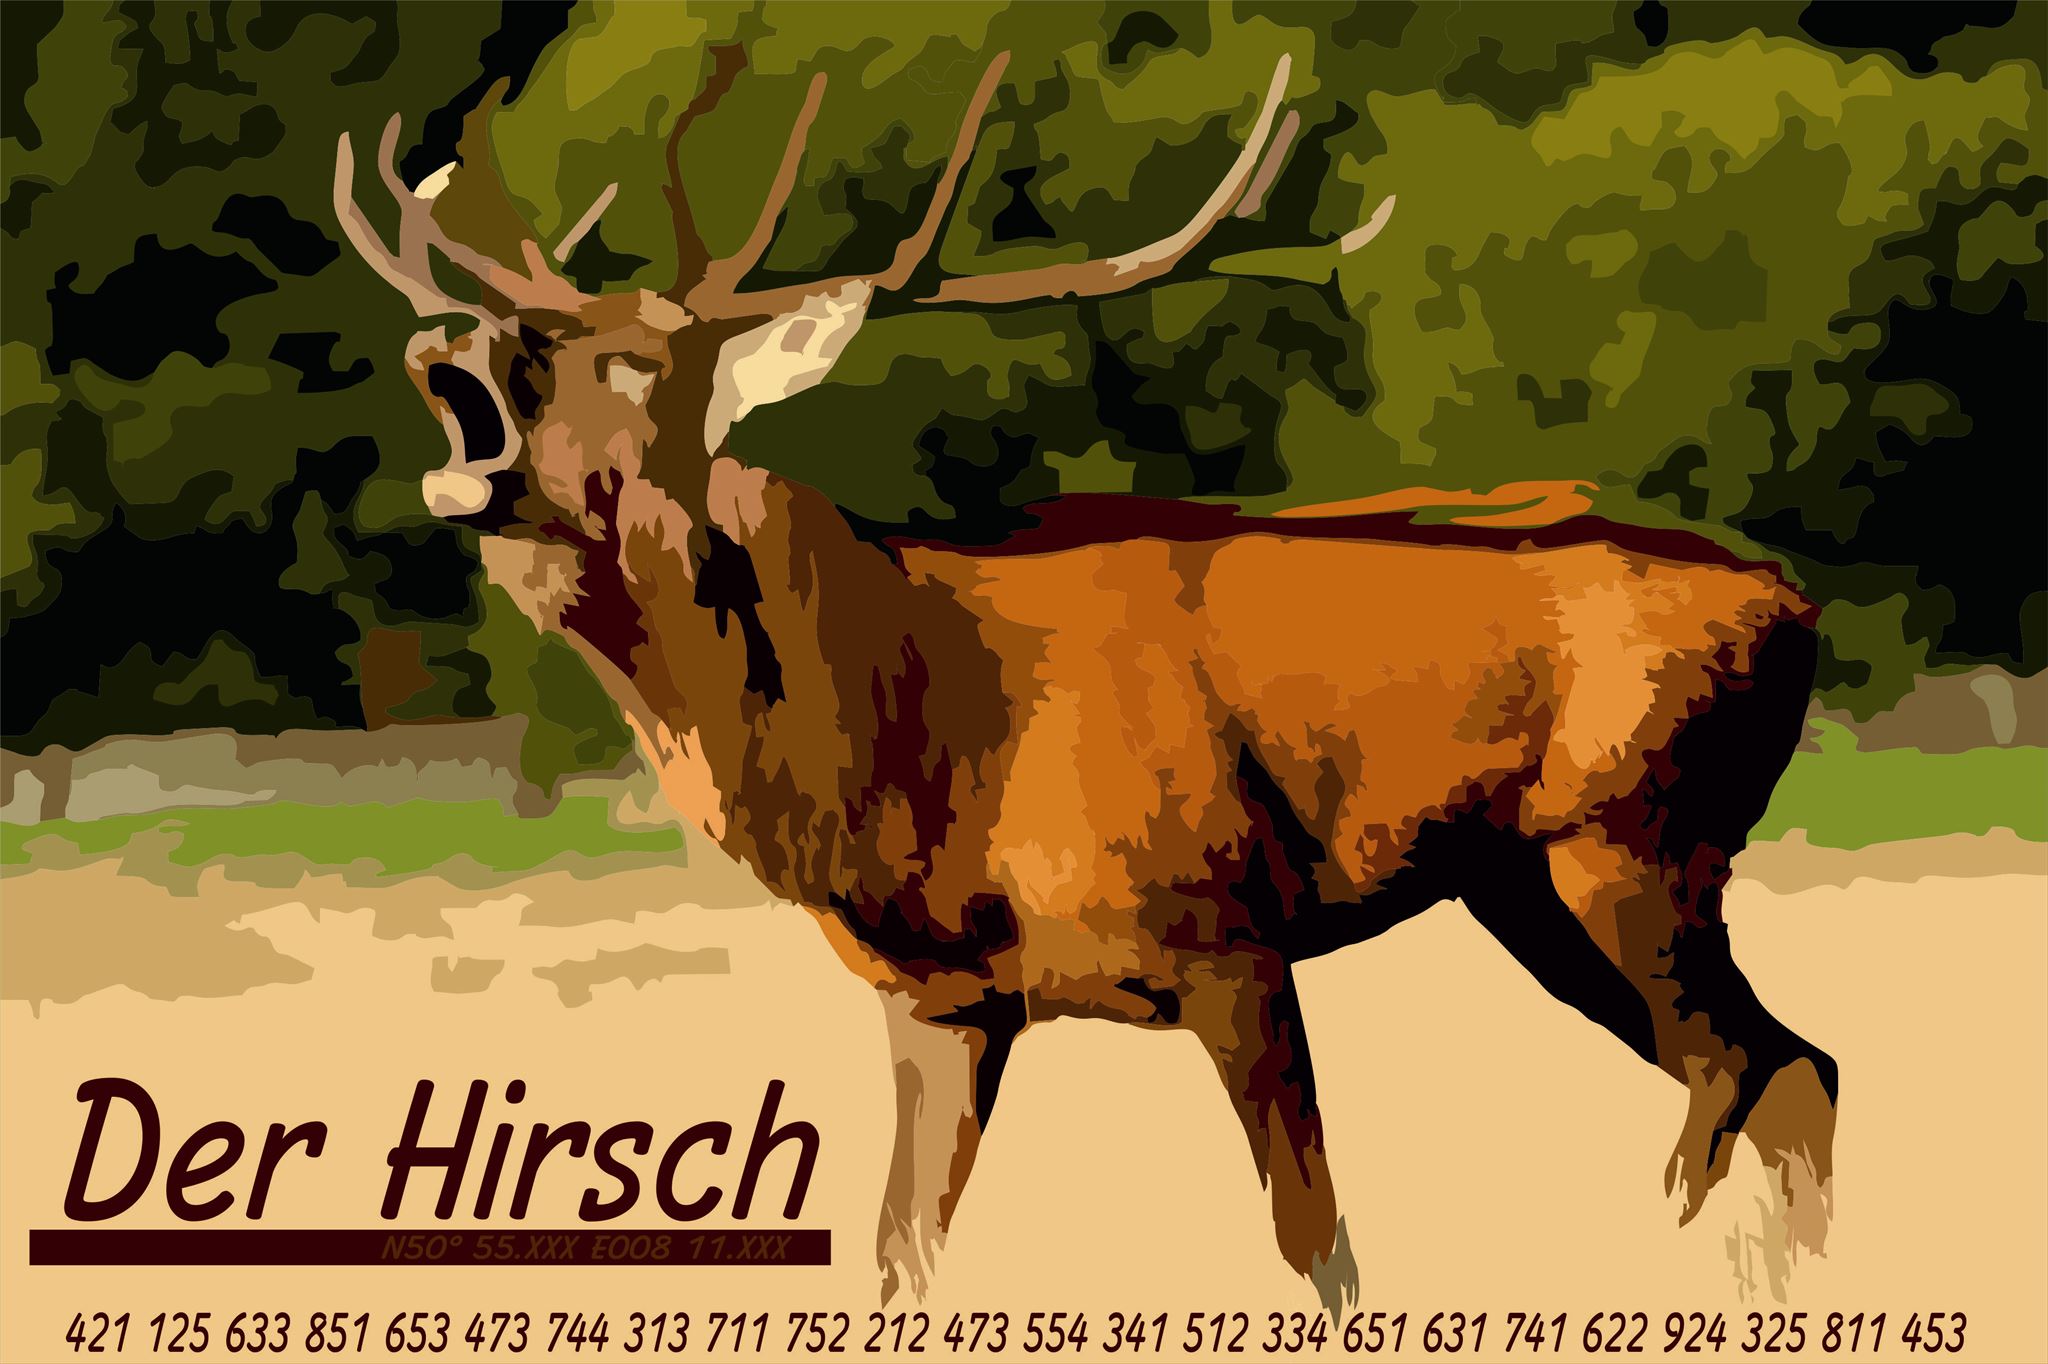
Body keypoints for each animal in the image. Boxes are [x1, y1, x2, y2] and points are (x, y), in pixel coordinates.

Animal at [333, 43, 1837, 1317]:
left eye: (633, 360)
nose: (446, 341)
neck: (915, 752)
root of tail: (1795, 599)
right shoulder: (939, 999)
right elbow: (899, 1263)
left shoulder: (1228, 928)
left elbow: (1318, 1253)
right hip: (1522, 882)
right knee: (1794, 1073)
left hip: (1635, 836)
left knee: (1737, 1077)